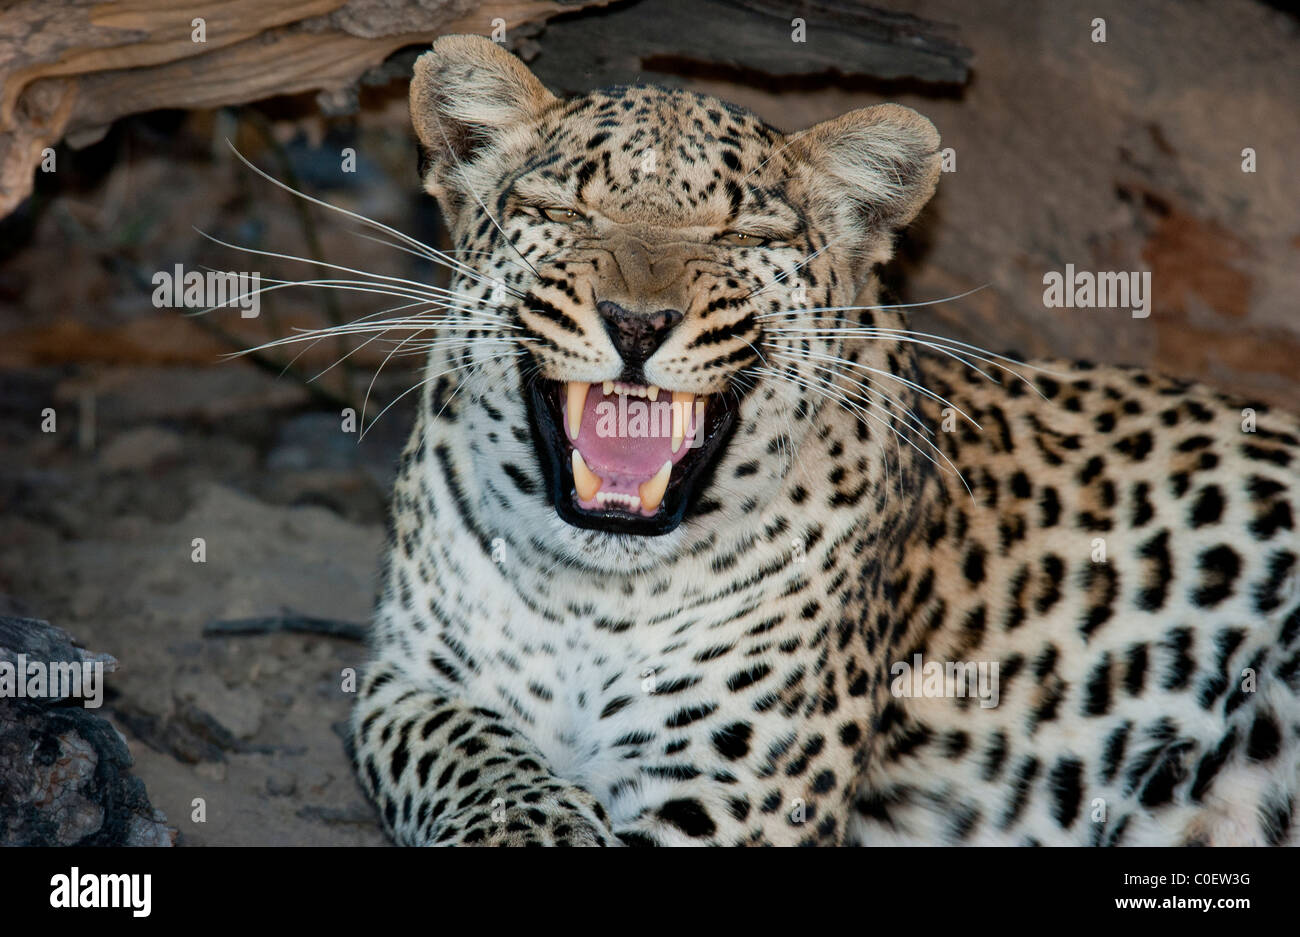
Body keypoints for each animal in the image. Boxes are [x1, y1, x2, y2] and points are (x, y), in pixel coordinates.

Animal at [348, 34, 1300, 846]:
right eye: (564, 211)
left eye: (744, 235)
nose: (636, 322)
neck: (596, 595)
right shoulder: (402, 680)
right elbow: (464, 750)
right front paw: (534, 820)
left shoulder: (738, 799)